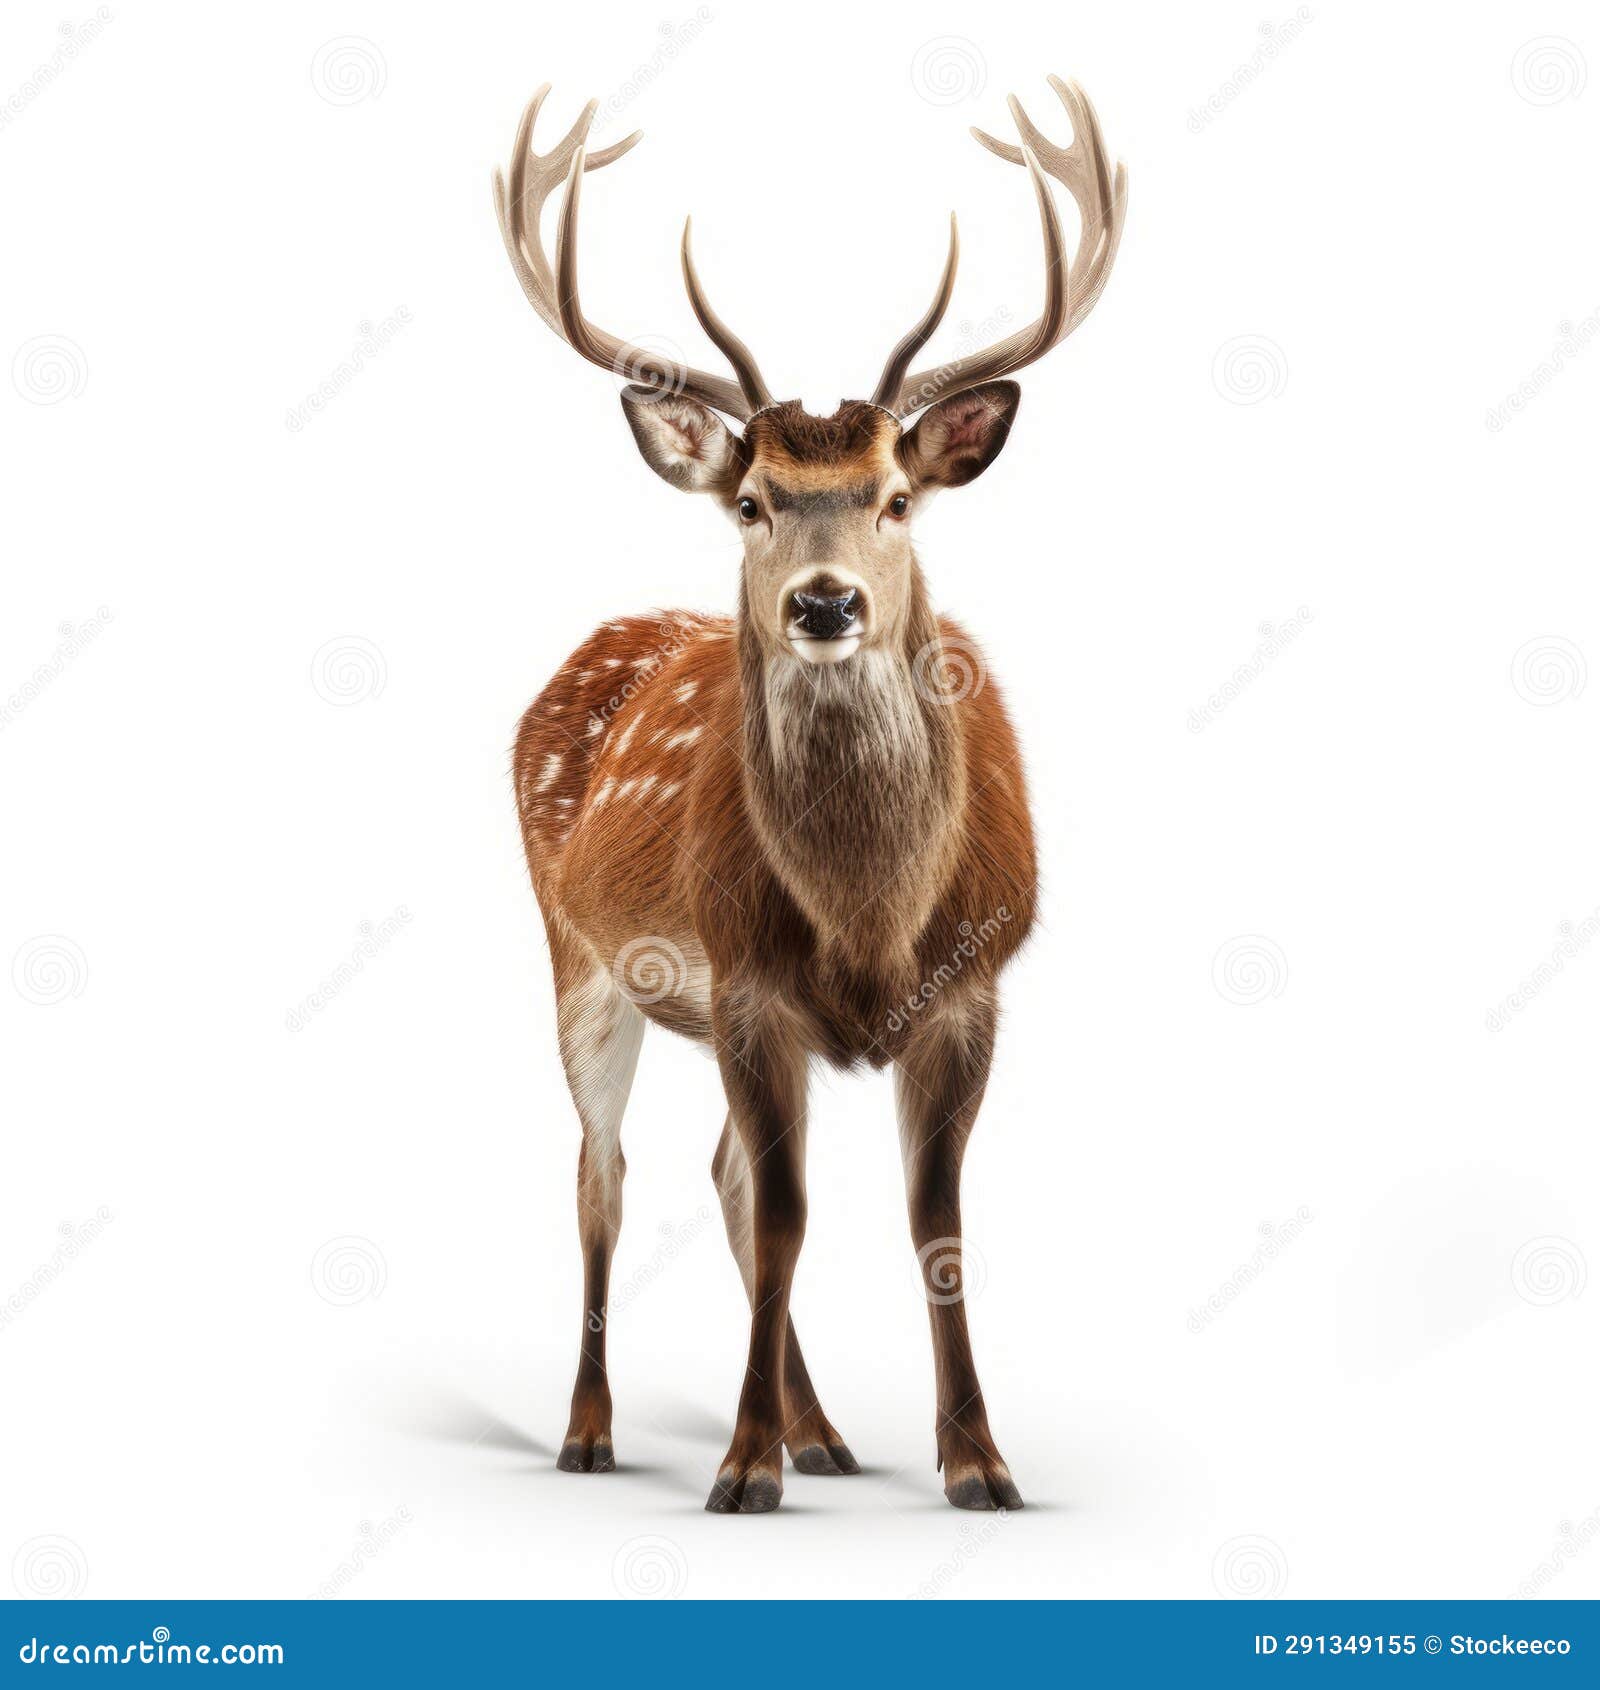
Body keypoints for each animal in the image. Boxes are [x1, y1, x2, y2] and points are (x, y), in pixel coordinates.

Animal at [496, 72, 1126, 1513]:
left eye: (897, 498)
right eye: (750, 500)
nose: (825, 603)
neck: (868, 920)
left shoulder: (973, 985)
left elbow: (933, 1221)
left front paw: (978, 1461)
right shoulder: (744, 978)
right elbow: (786, 1216)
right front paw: (739, 1466)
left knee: (720, 1171)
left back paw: (824, 1430)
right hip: (576, 954)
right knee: (603, 1175)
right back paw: (592, 1429)